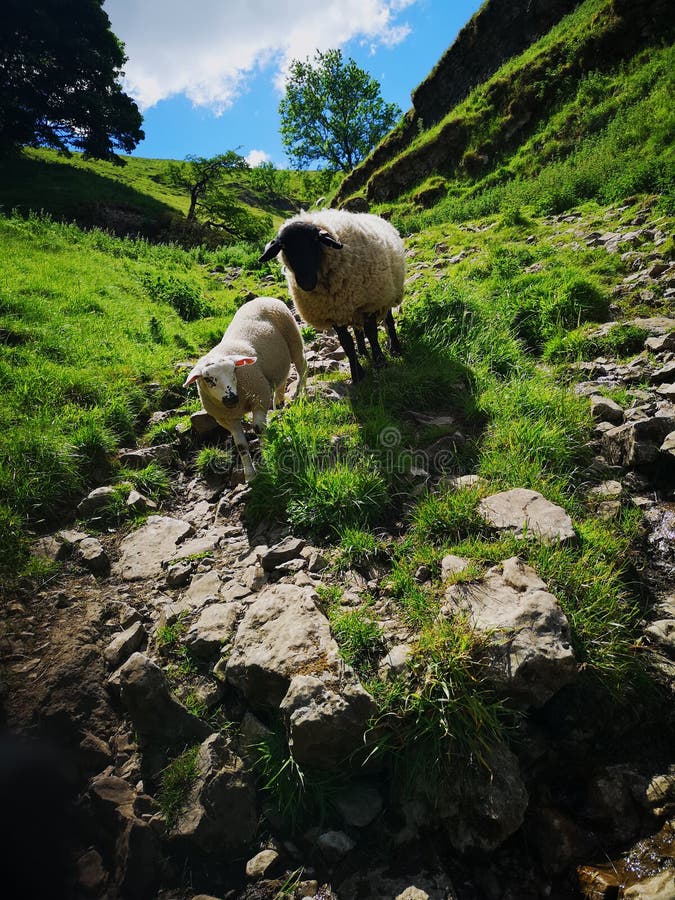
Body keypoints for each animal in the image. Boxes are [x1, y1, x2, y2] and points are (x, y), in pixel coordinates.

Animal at [183, 297, 306, 481]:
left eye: (233, 370)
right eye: (208, 379)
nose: (231, 398)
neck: (237, 405)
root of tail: (262, 298)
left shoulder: (259, 397)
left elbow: (259, 429)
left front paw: (266, 458)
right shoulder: (227, 419)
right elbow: (240, 445)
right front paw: (250, 475)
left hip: (294, 339)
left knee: (302, 367)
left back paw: (300, 394)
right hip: (277, 363)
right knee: (282, 380)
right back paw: (278, 404)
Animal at [258, 209, 405, 383]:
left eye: (315, 240)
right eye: (284, 246)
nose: (306, 282)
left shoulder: (368, 303)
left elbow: (372, 334)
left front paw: (380, 362)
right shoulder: (333, 313)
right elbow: (346, 343)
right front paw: (357, 374)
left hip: (387, 293)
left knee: (388, 320)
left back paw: (395, 348)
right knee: (358, 329)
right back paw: (363, 351)